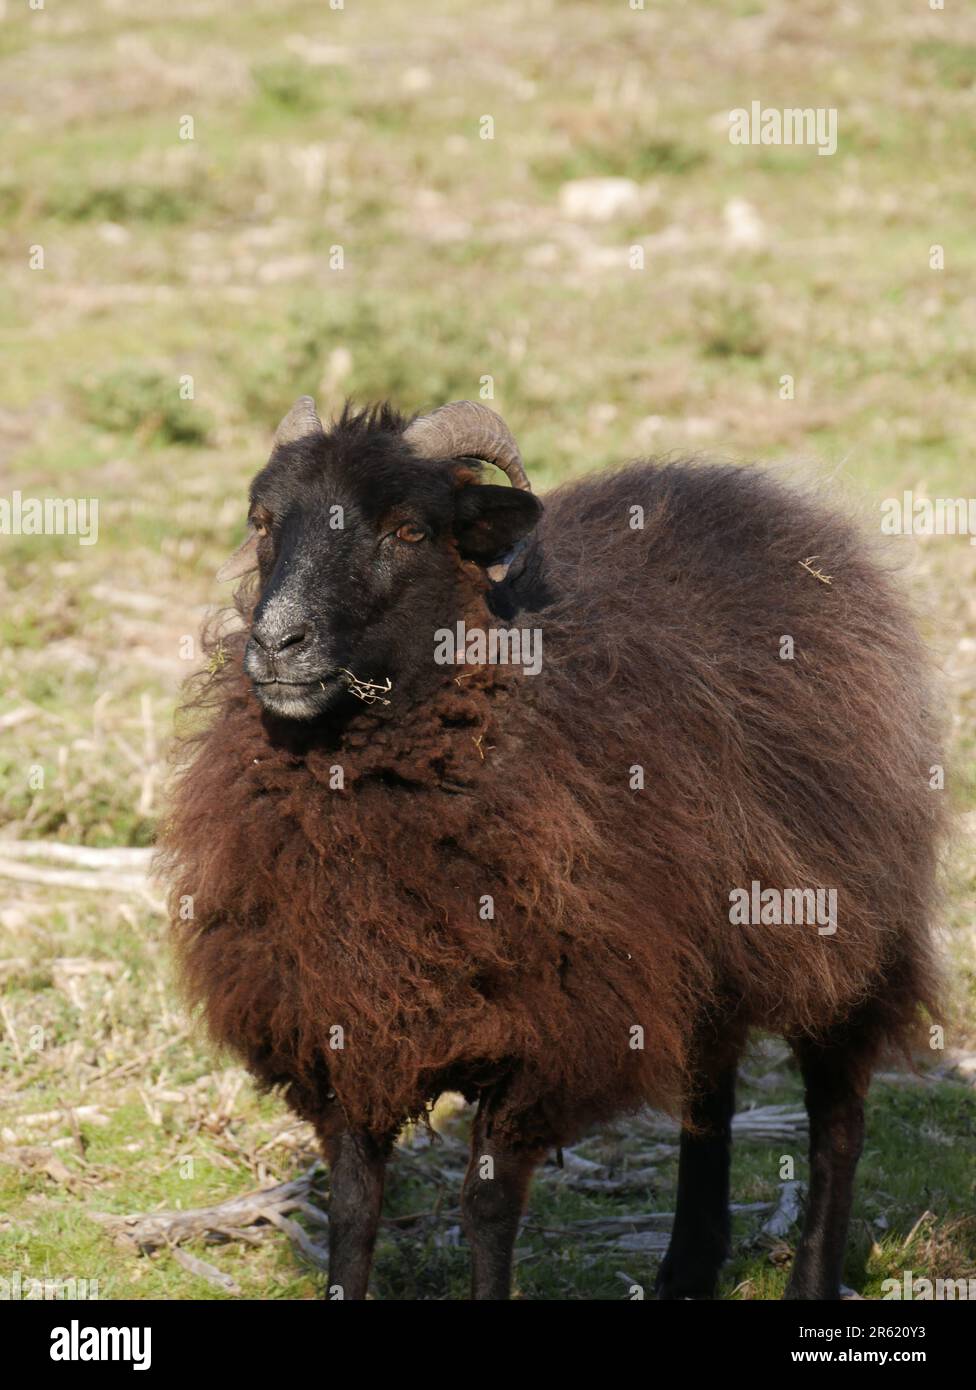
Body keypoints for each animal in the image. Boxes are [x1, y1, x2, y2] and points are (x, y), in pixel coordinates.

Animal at [159, 396, 946, 1301]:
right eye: (264, 522)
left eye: (408, 530)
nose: (276, 644)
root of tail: (782, 507)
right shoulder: (342, 1018)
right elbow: (354, 1204)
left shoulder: (544, 1033)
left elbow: (487, 1208)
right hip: (700, 947)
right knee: (709, 1093)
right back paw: (686, 1266)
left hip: (844, 920)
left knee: (838, 1110)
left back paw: (810, 1276)